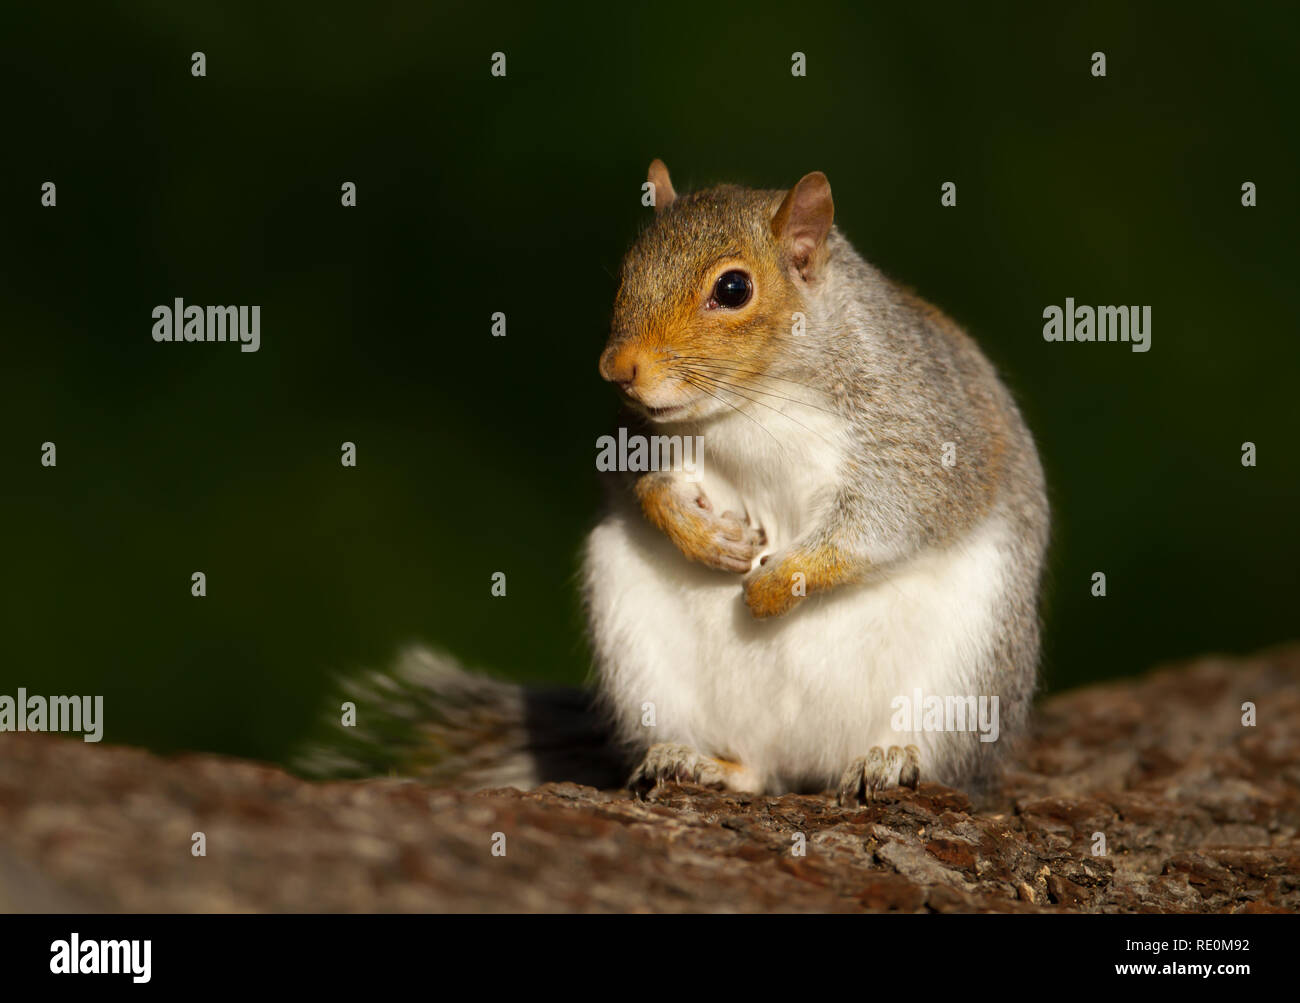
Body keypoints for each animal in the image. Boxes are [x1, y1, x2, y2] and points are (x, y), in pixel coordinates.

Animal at [294, 162, 1048, 805]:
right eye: (626, 274)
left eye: (734, 289)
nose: (617, 368)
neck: (754, 400)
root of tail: (805, 760)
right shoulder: (639, 434)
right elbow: (646, 489)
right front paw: (707, 538)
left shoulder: (920, 430)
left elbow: (891, 515)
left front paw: (774, 585)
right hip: (640, 651)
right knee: (750, 765)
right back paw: (702, 763)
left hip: (968, 670)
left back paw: (891, 760)